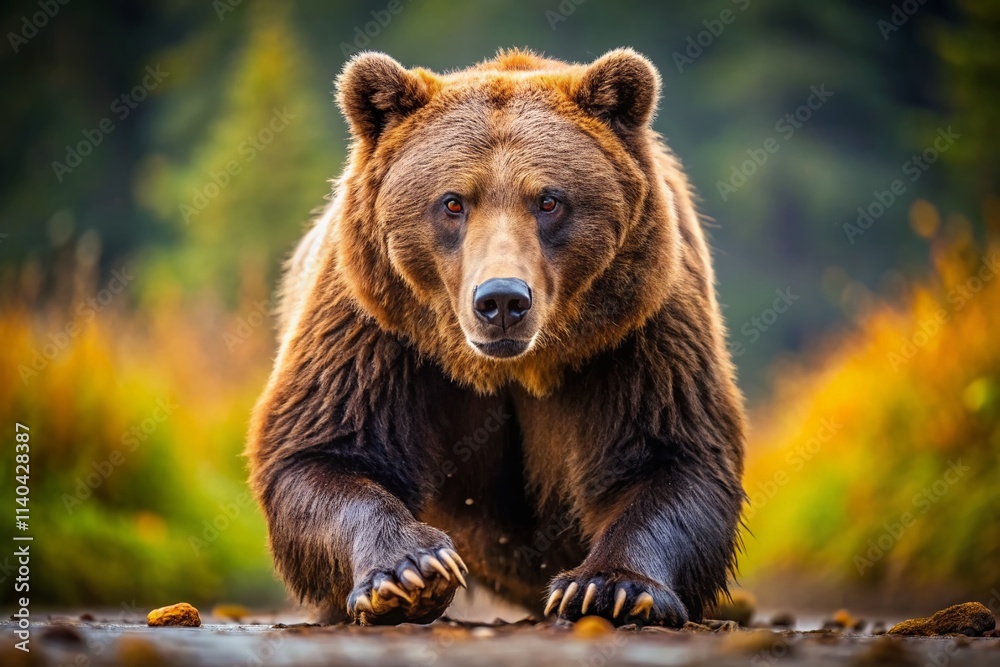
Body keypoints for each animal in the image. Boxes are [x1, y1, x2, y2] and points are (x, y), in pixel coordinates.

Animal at [246, 47, 746, 628]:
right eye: (453, 202)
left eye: (549, 200)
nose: (502, 300)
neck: (510, 367)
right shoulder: (373, 322)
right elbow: (326, 448)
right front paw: (410, 572)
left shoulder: (638, 327)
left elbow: (671, 454)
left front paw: (609, 588)